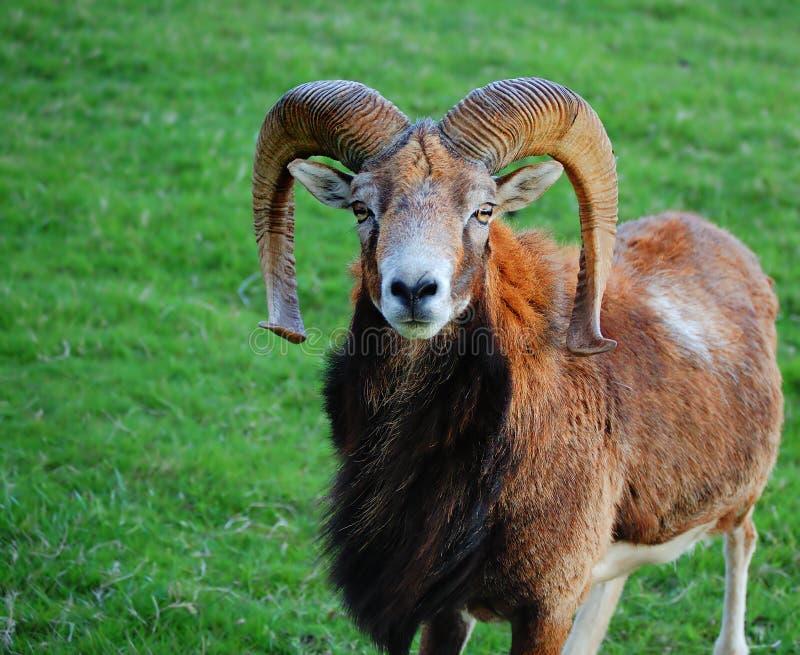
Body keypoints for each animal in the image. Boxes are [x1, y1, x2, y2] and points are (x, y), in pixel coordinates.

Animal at [251, 78, 782, 655]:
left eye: (484, 210)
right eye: (361, 209)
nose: (413, 290)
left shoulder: (545, 611)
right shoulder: (447, 609)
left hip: (737, 505)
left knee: (743, 542)